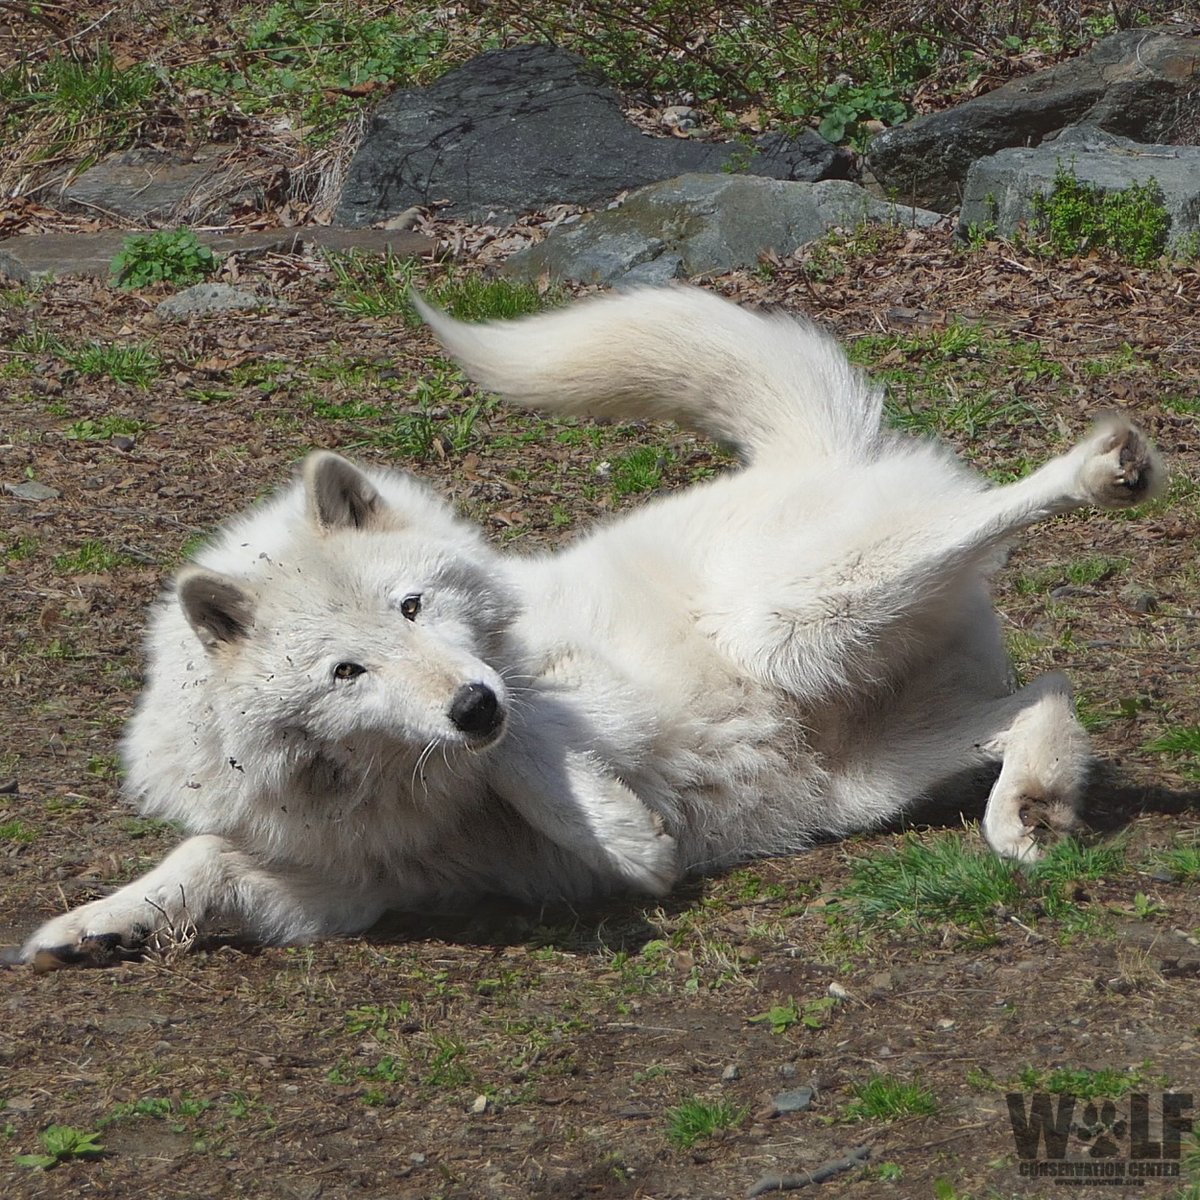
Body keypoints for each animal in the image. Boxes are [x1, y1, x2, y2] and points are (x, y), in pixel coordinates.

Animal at [20, 285, 1162, 961]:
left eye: (413, 608)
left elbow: (549, 762)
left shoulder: (558, 699)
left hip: (792, 624)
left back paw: (1101, 470)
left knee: (994, 519)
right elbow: (193, 869)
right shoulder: (327, 889)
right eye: (347, 671)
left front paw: (617, 830)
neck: (405, 787)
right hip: (875, 773)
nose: (470, 707)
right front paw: (88, 929)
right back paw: (1033, 810)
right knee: (1047, 693)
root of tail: (813, 451)